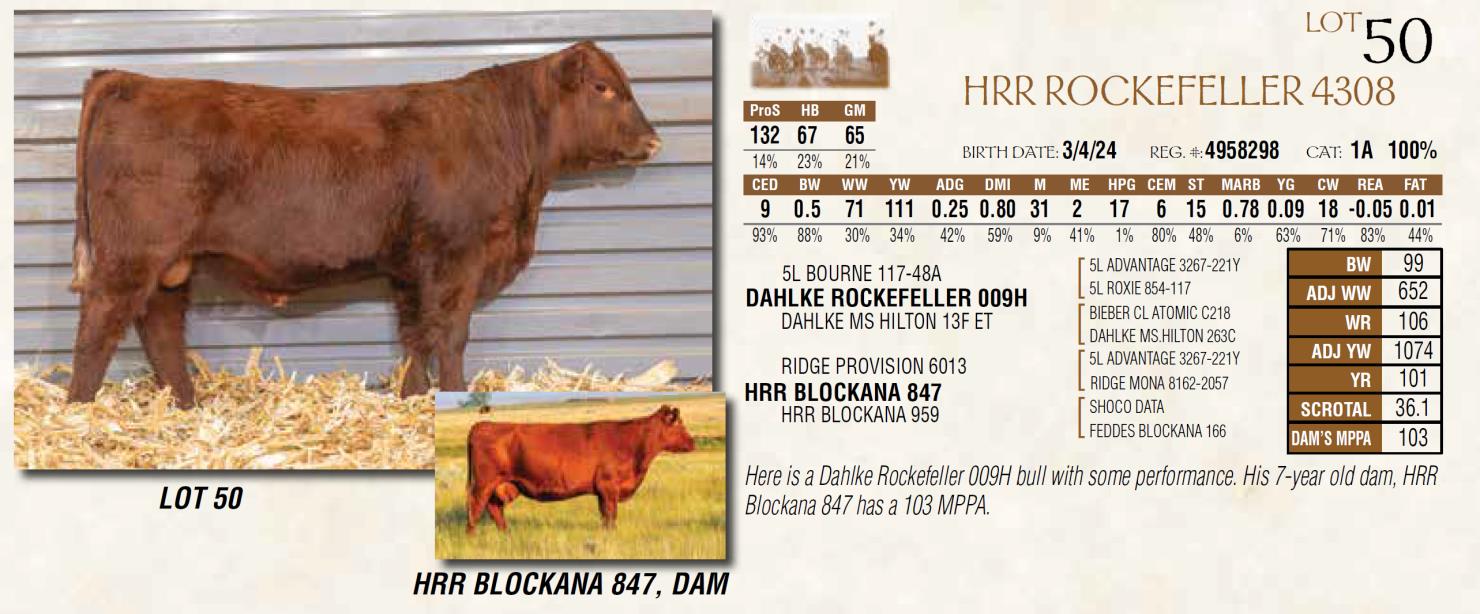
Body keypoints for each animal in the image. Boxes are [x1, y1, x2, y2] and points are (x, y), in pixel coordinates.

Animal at [65, 41, 661, 408]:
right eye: (603, 88)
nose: (652, 140)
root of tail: (128, 78)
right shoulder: (455, 254)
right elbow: (451, 334)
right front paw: (452, 393)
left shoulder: (411, 265)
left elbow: (417, 333)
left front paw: (414, 396)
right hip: (130, 255)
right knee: (99, 328)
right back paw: (80, 410)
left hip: (170, 262)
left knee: (160, 329)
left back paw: (186, 407)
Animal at [464, 405, 696, 534]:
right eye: (679, 425)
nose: (693, 442)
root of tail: (482, 425)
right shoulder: (609, 487)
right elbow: (611, 515)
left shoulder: (602, 492)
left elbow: (605, 517)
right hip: (484, 483)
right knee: (475, 507)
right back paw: (471, 536)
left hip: (500, 484)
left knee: (494, 509)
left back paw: (506, 534)